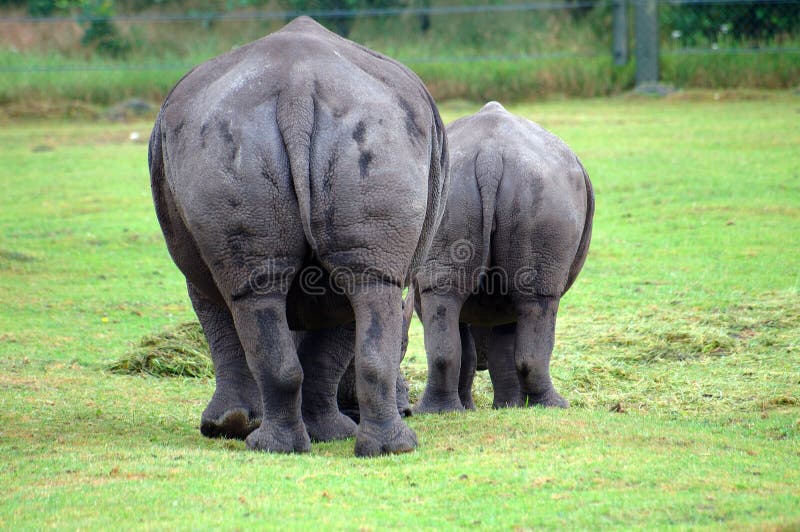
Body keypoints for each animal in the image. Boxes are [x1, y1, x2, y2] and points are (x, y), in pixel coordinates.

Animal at [148, 17, 448, 456]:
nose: (408, 405)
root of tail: (297, 88)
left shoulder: (196, 273)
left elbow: (222, 326)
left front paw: (224, 426)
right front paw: (324, 432)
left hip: (240, 136)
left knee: (271, 291)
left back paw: (274, 444)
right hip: (374, 135)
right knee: (363, 285)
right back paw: (383, 448)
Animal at [412, 102, 593, 413]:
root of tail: (489, 156)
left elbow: (489, 348)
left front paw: (502, 407)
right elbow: (499, 347)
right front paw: (507, 407)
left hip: (461, 187)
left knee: (445, 294)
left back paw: (438, 412)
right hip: (539, 188)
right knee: (538, 301)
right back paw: (554, 406)